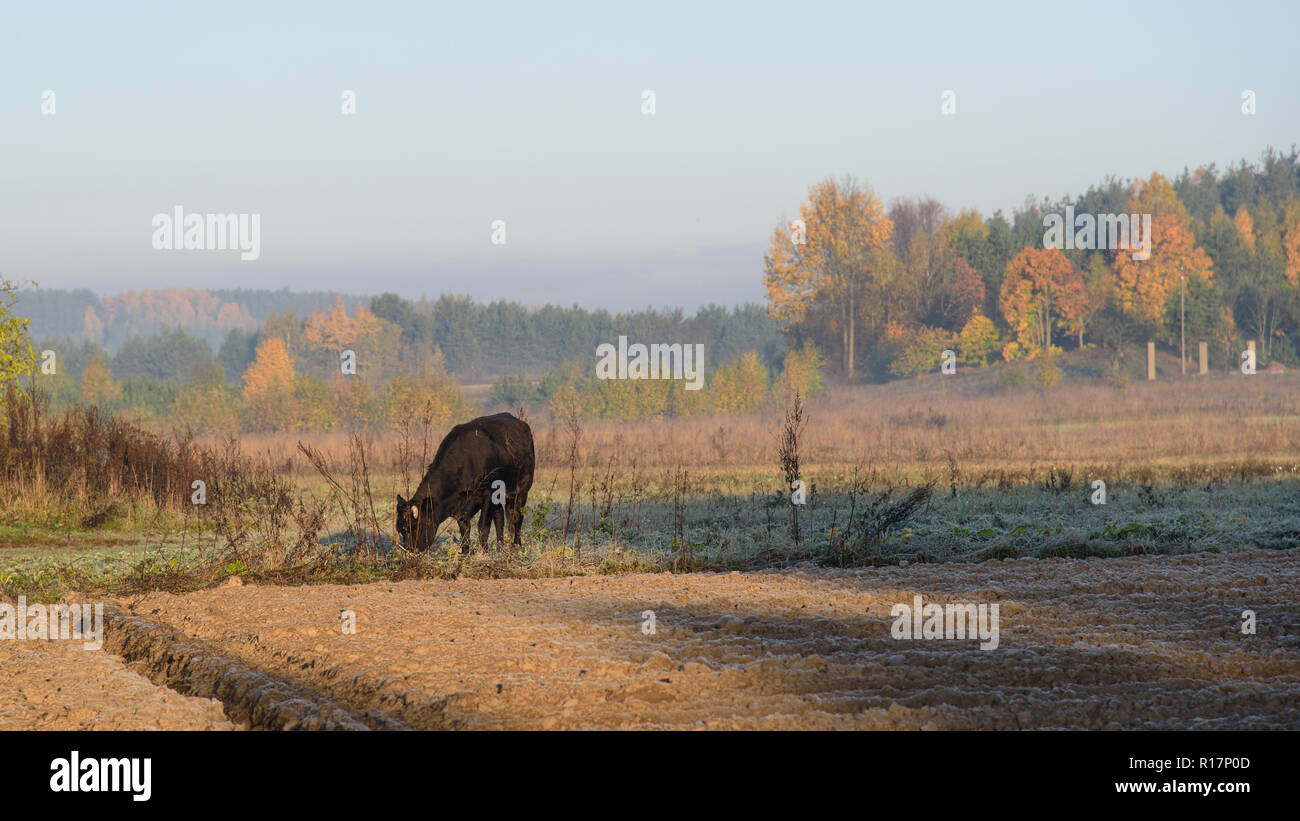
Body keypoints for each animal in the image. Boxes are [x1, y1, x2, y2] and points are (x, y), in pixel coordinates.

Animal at [395, 412, 534, 553]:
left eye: (414, 527)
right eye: (400, 530)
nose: (409, 550)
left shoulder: (489, 493)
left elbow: (483, 525)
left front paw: (483, 552)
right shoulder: (462, 507)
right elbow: (464, 527)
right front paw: (466, 552)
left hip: (521, 490)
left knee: (516, 517)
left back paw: (516, 545)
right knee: (499, 517)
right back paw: (500, 547)